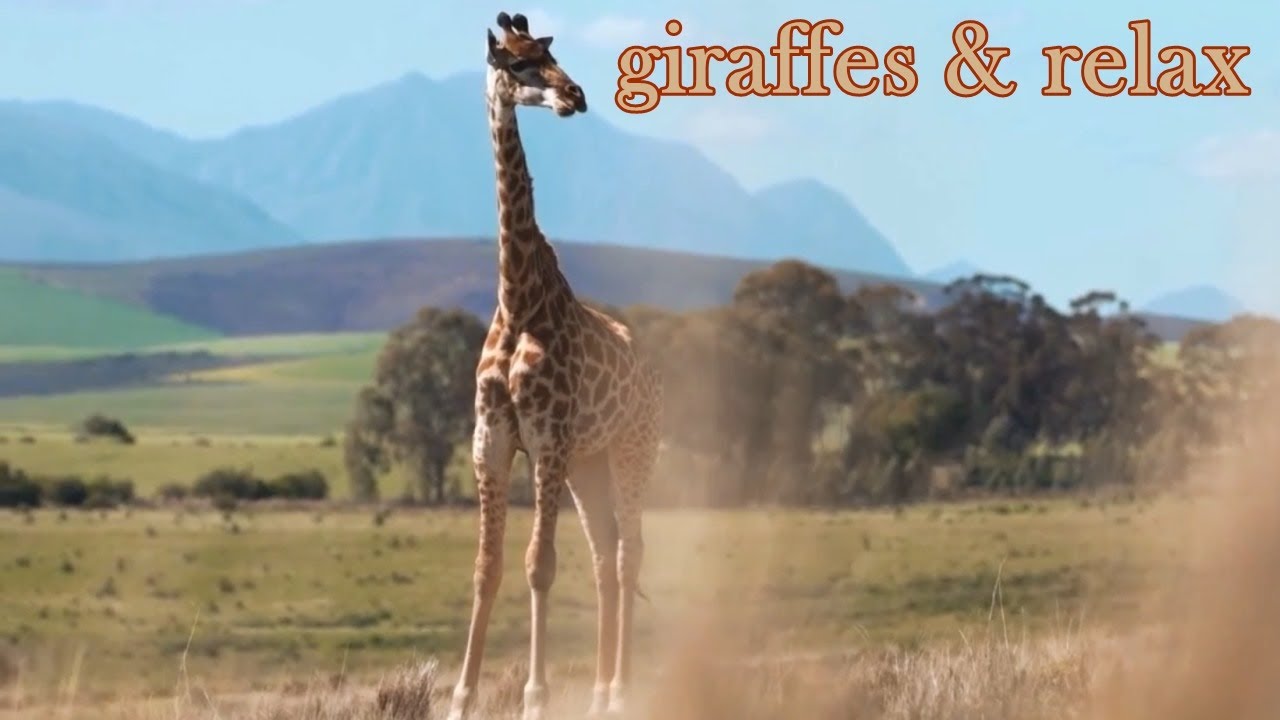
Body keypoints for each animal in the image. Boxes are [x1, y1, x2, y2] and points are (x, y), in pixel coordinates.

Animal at [446, 11, 663, 720]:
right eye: (517, 64)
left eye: (551, 53)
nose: (576, 95)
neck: (518, 300)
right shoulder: (491, 440)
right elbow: (487, 568)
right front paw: (461, 696)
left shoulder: (546, 439)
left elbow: (539, 564)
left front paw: (536, 697)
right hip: (588, 463)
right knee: (602, 555)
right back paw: (596, 692)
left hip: (630, 448)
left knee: (628, 554)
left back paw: (620, 690)